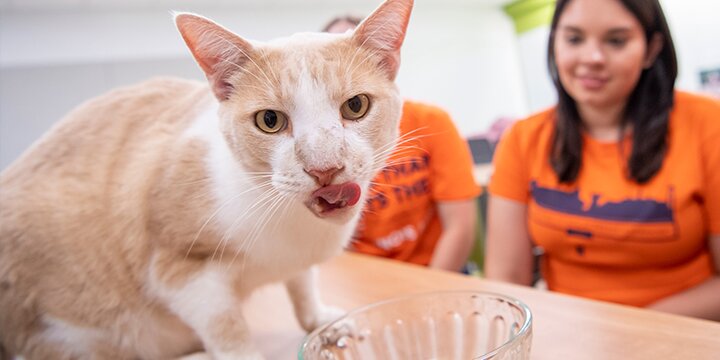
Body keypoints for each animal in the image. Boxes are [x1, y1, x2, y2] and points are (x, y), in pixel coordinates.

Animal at [0, 0, 414, 358]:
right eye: (270, 120)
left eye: (356, 106)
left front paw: (319, 319)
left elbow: (302, 283)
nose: (324, 167)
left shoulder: (299, 262)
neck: (289, 222)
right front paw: (243, 352)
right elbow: (224, 326)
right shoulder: (179, 269)